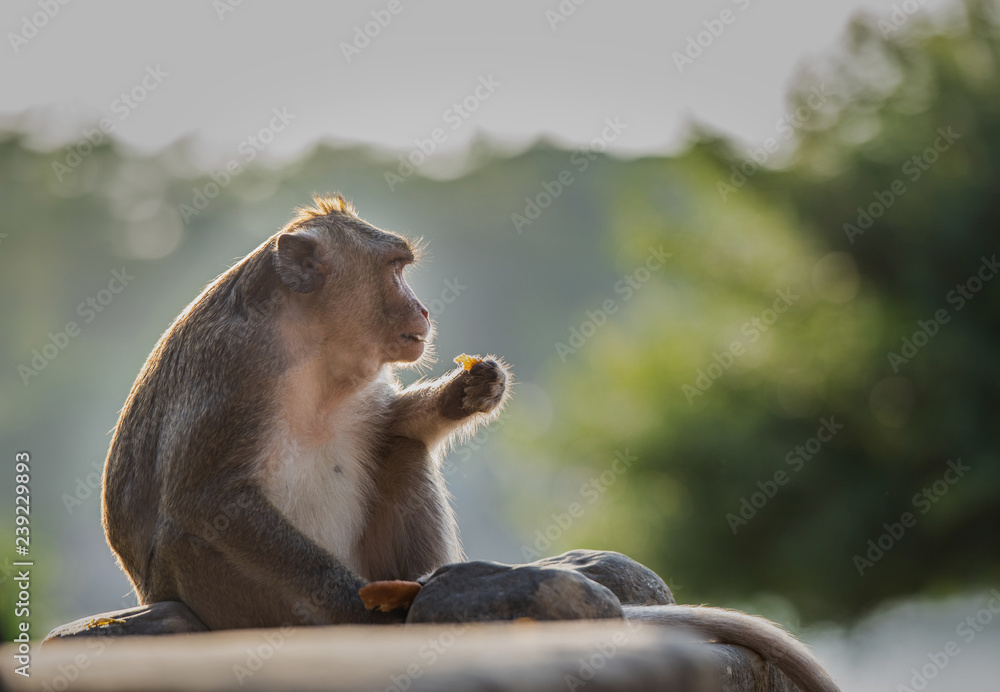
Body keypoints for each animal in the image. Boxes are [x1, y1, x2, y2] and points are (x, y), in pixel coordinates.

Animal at [102, 193, 510, 630]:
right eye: (394, 268)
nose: (424, 310)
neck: (312, 349)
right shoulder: (237, 365)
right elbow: (207, 499)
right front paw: (358, 605)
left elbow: (391, 422)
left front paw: (469, 390)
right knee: (187, 536)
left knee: (402, 444)